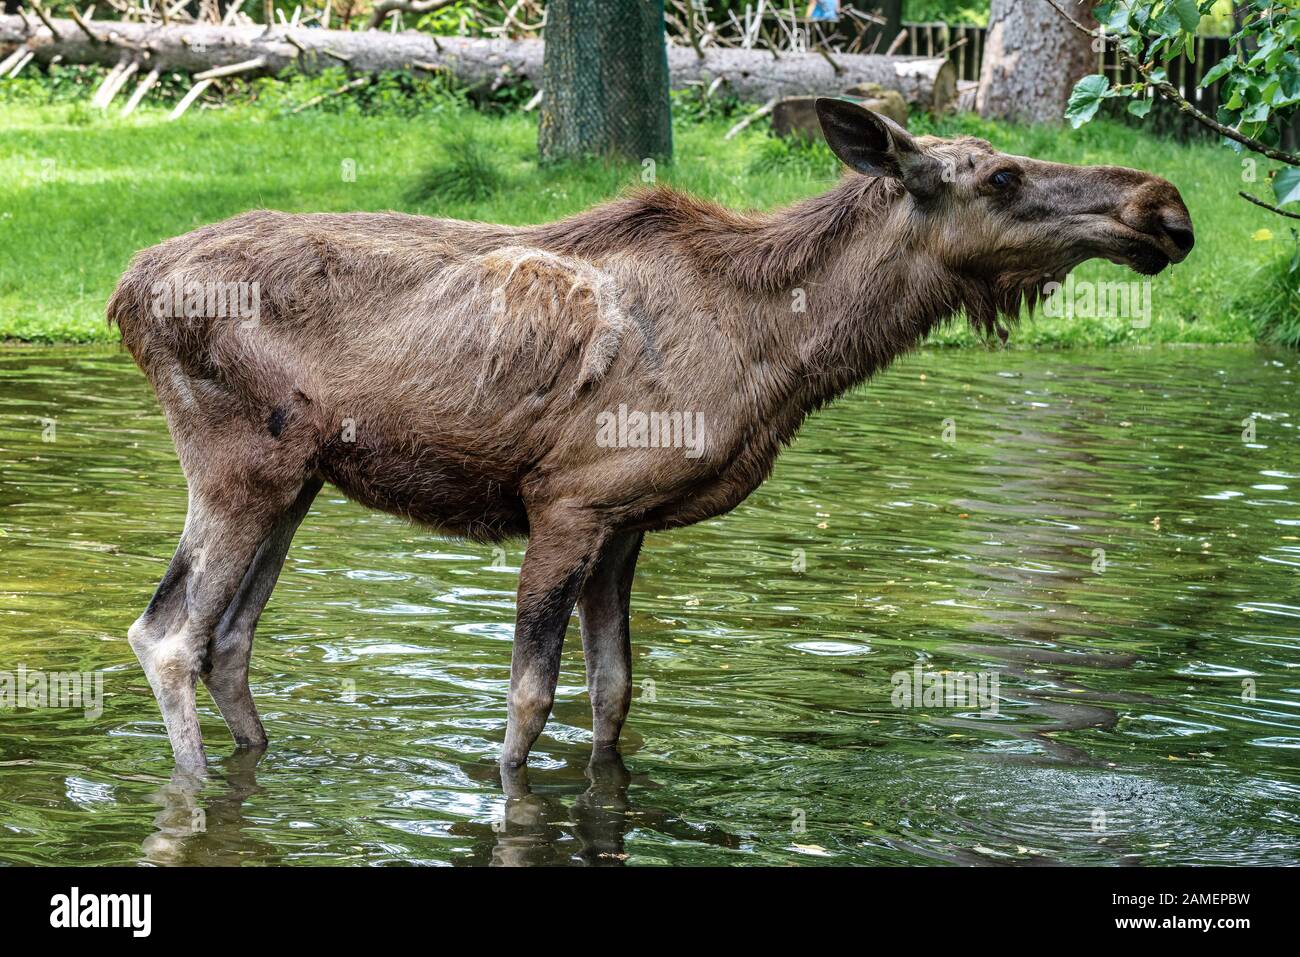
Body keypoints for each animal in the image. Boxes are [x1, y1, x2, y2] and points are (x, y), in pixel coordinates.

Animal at [108, 101, 1193, 779]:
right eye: (1004, 176)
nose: (1166, 207)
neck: (782, 354)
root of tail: (124, 286)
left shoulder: (627, 519)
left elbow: (615, 694)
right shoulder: (569, 499)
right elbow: (528, 701)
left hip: (300, 479)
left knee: (231, 641)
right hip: (240, 462)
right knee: (168, 636)